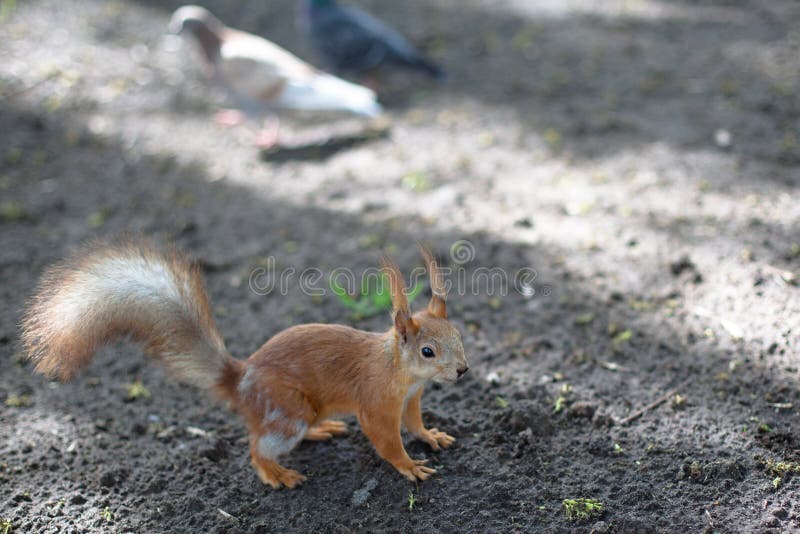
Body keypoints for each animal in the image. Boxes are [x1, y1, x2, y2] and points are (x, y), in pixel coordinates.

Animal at [21, 240, 469, 489]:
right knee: (256, 447)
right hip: (288, 409)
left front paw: (431, 436)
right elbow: (386, 439)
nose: (463, 371)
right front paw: (408, 465)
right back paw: (276, 473)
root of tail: (239, 382)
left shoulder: (411, 398)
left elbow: (414, 424)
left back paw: (321, 430)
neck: (400, 371)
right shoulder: (376, 402)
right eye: (427, 352)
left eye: (459, 336)